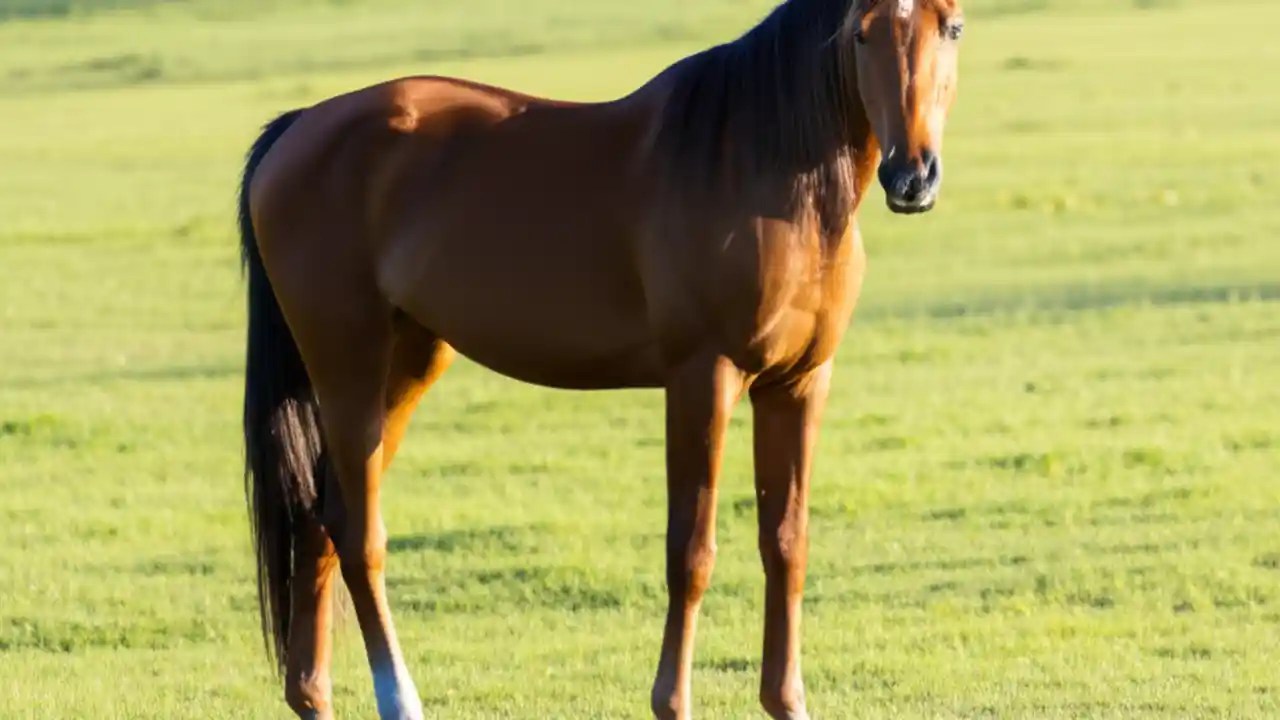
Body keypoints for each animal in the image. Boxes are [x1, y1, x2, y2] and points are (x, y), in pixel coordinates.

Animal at [238, 0, 964, 717]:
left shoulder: (799, 384)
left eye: (951, 28)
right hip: (348, 366)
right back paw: (400, 699)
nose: (912, 177)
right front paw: (672, 700)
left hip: (407, 363)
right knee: (359, 534)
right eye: (861, 34)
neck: (761, 168)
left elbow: (786, 542)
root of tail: (302, 127)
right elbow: (691, 551)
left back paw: (313, 694)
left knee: (322, 517)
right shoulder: (703, 378)